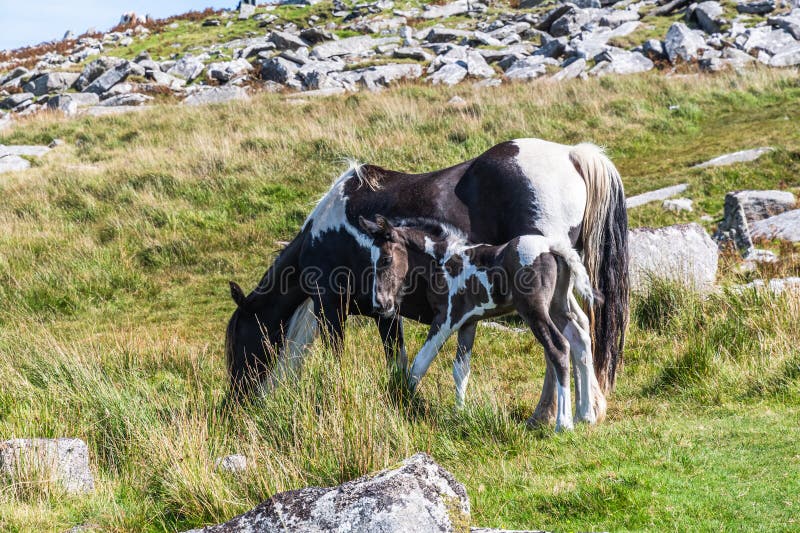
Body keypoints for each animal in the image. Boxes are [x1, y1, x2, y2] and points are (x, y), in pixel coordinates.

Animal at [358, 215, 602, 430]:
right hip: (558, 307)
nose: (380, 304)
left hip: (534, 310)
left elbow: (419, 364)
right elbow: (461, 370)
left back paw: (564, 423)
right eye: (372, 260)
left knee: (559, 347)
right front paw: (458, 414)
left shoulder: (446, 319)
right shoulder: (468, 323)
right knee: (580, 340)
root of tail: (552, 246)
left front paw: (404, 402)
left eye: (386, 259)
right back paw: (586, 415)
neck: (443, 261)